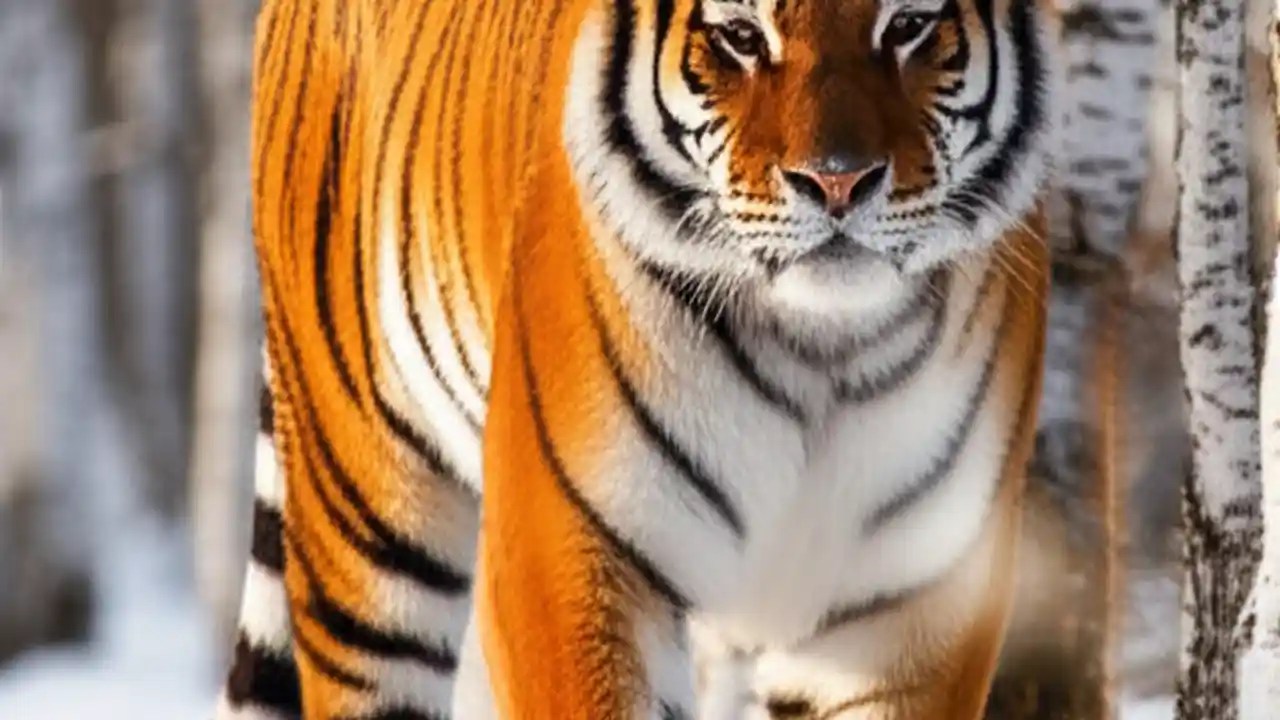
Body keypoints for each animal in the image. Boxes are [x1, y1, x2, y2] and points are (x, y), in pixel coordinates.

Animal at [215, 0, 1057, 718]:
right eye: (741, 35)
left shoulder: (910, 603)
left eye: (910, 24)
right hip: (365, 524)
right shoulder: (572, 555)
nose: (838, 181)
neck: (822, 344)